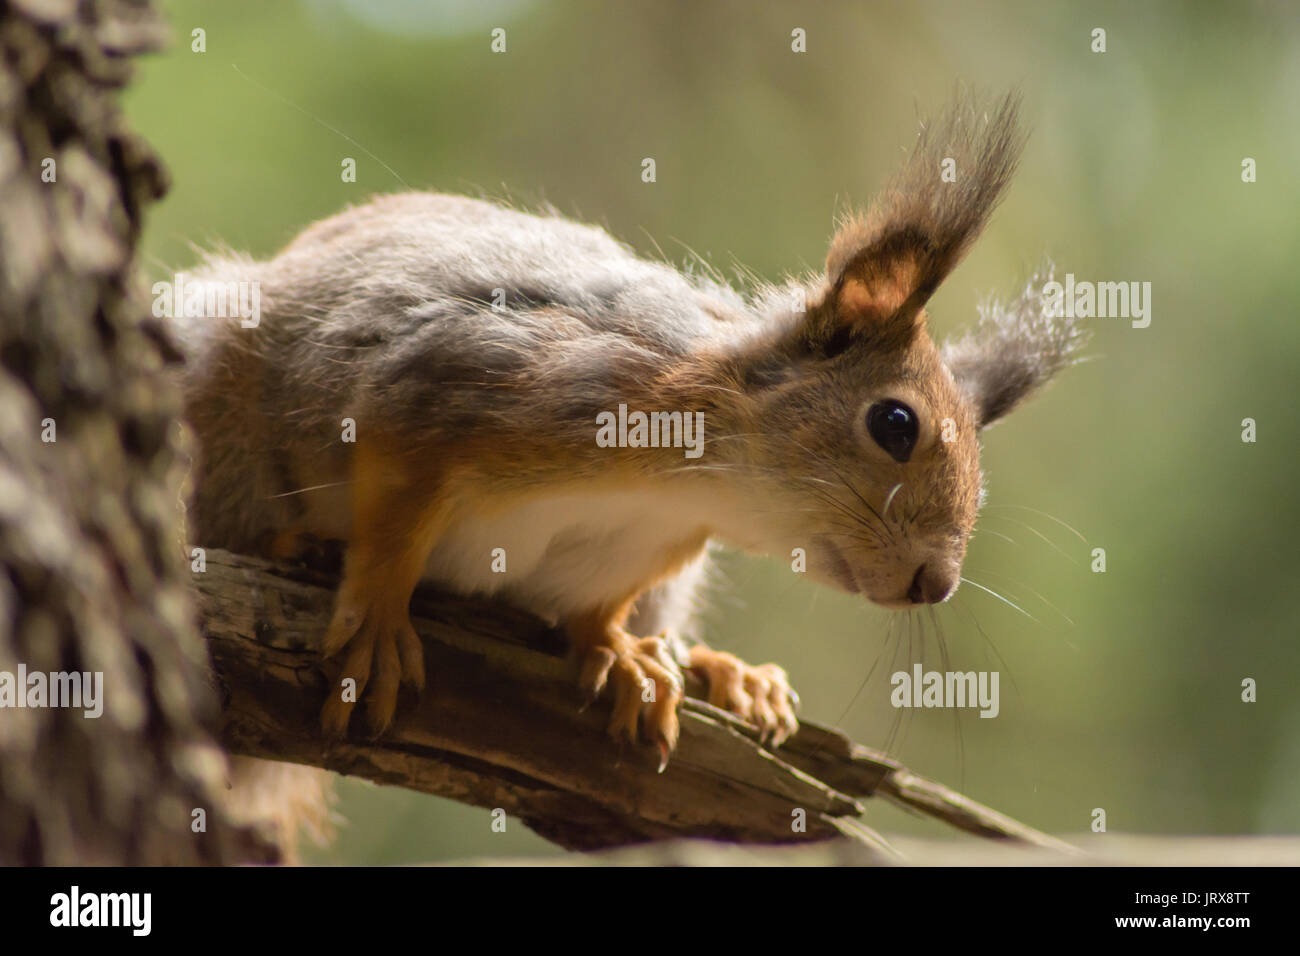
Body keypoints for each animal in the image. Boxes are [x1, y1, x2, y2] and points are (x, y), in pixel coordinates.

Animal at [174, 91, 1083, 848]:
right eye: (895, 424)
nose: (936, 583)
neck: (695, 484)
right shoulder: (461, 386)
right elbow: (395, 517)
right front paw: (376, 625)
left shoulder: (652, 548)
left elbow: (596, 605)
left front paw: (623, 654)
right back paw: (290, 546)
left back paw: (713, 667)